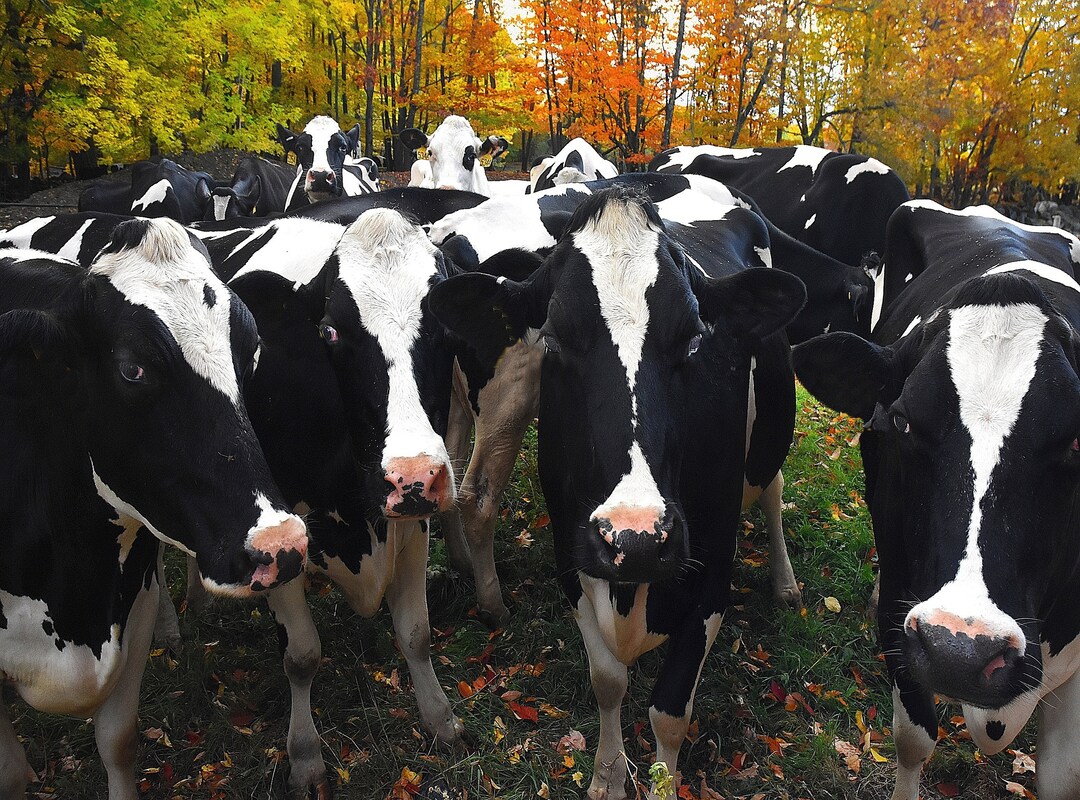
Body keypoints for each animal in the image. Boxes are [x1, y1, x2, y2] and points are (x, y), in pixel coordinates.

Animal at [429, 185, 806, 798]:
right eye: (553, 337)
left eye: (693, 337)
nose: (637, 534)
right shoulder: (573, 556)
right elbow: (607, 681)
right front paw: (607, 776)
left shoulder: (711, 575)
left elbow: (669, 714)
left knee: (770, 488)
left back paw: (785, 582)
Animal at [791, 200, 1080, 800]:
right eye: (902, 420)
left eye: (1076, 440)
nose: (960, 650)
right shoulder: (904, 617)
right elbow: (912, 740)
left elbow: (1061, 776)